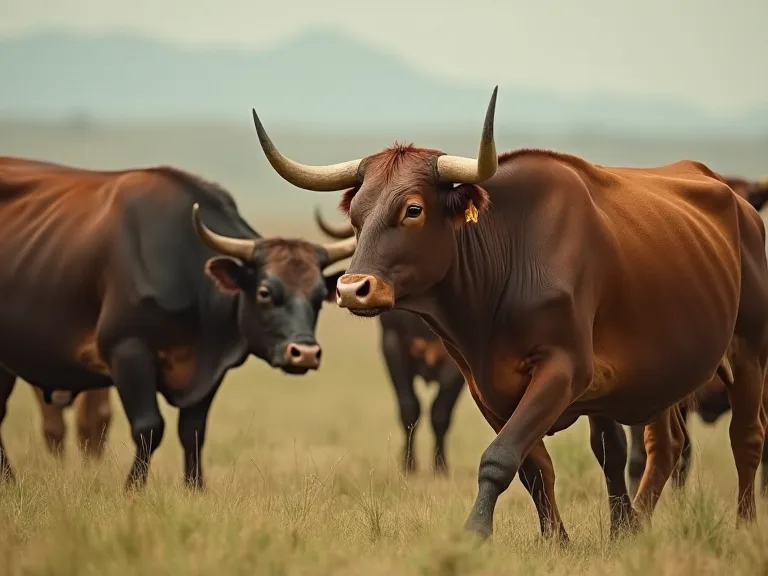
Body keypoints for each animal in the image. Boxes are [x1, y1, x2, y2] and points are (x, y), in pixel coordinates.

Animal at [0, 156, 355, 490]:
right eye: (265, 292)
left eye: (319, 296)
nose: (305, 353)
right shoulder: (128, 352)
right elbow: (149, 428)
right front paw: (133, 490)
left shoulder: (209, 373)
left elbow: (192, 432)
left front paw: (195, 490)